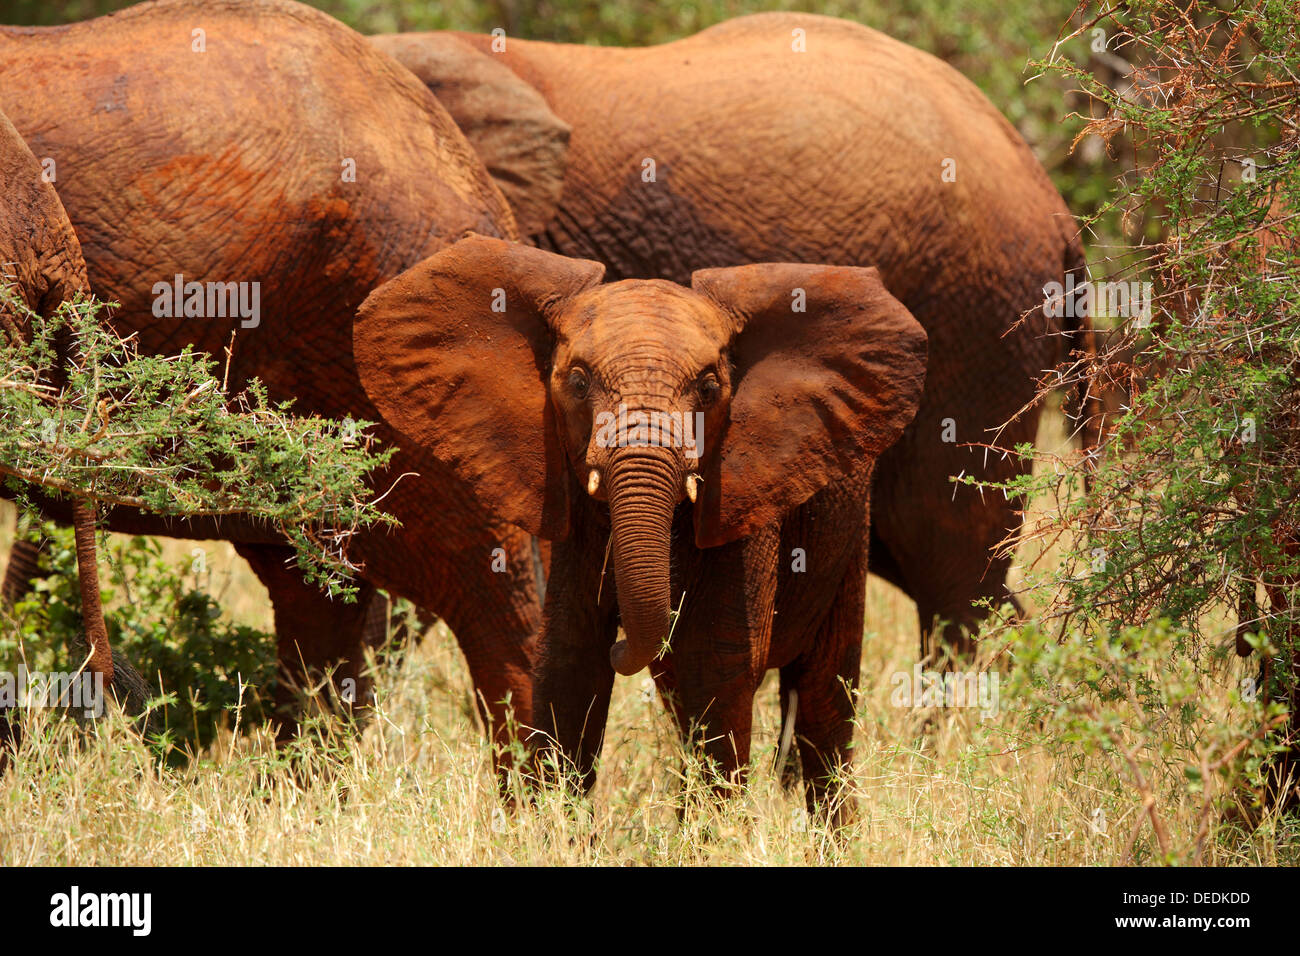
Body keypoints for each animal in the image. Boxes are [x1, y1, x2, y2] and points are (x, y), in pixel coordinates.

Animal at [354, 234, 927, 815]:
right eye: (577, 382)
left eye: (710, 388)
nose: (622, 642)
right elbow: (568, 657)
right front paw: (555, 823)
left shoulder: (744, 498)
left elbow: (719, 667)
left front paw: (711, 831)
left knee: (824, 703)